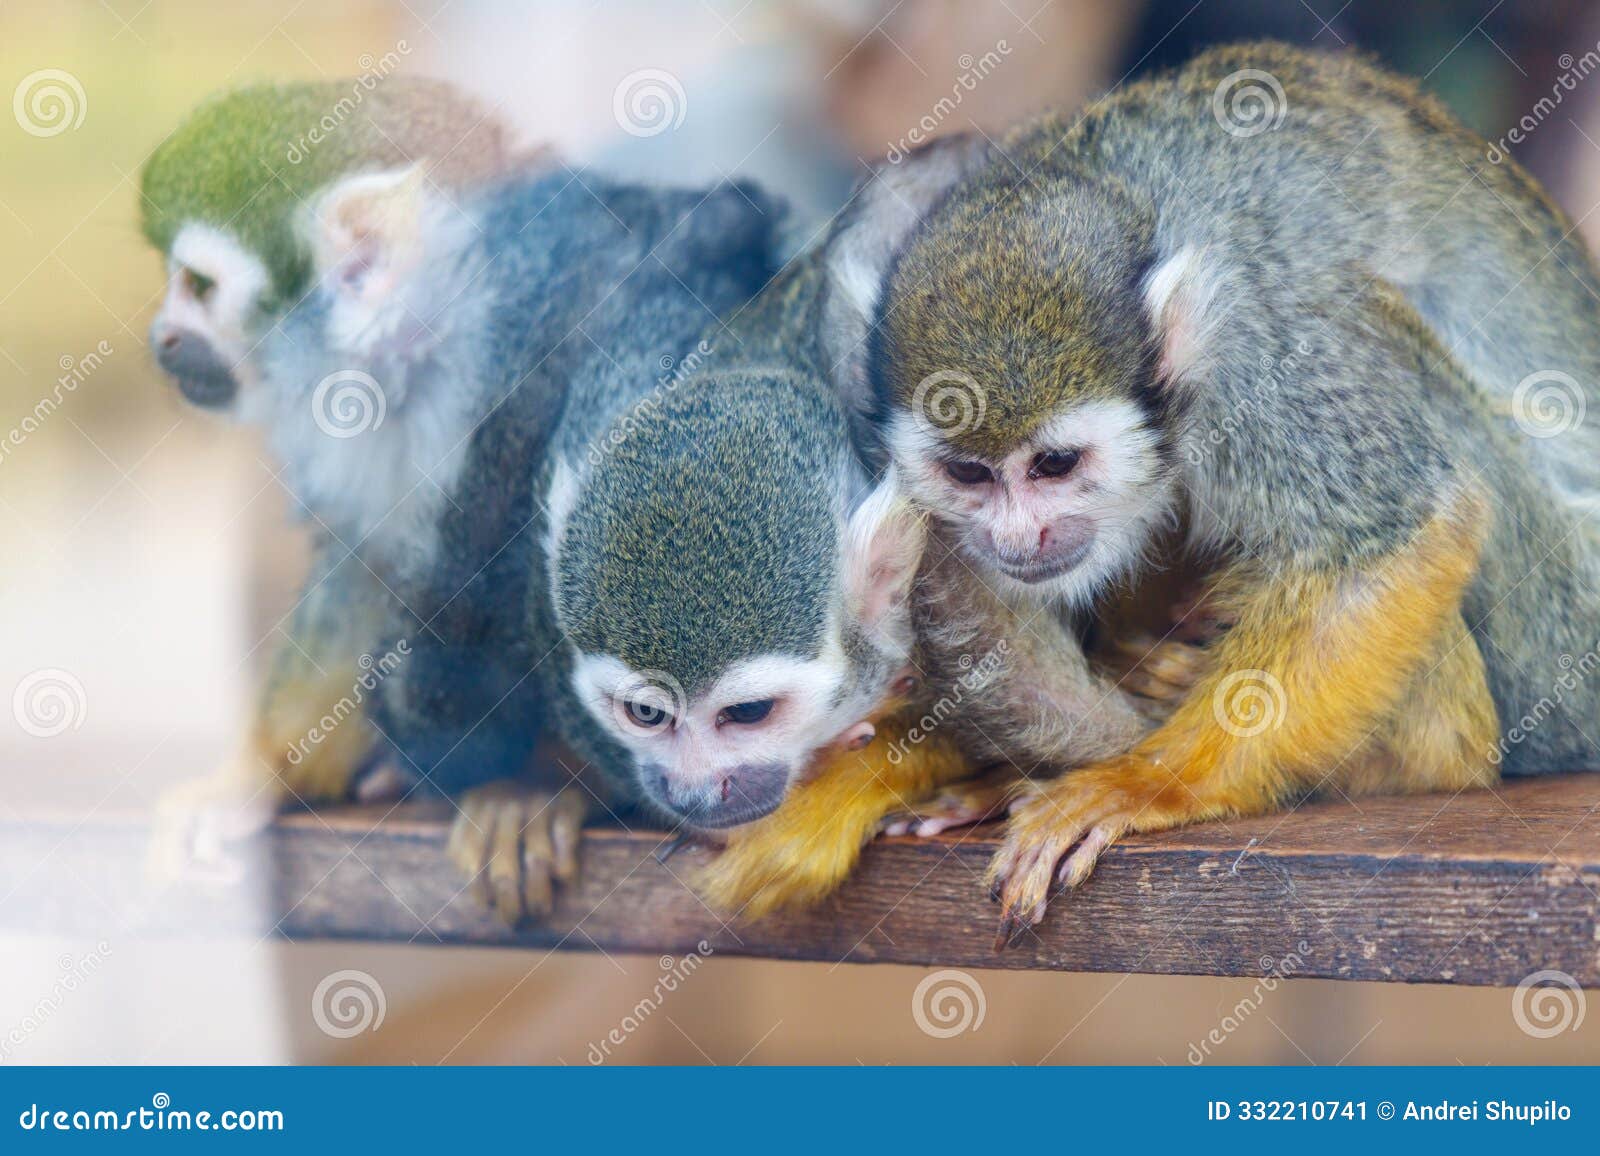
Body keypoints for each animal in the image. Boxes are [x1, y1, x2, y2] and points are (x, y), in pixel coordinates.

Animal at [822, 41, 1600, 943]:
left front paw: (1146, 782)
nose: (1017, 542)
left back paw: (1424, 753)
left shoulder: (1260, 347)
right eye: (970, 475)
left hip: (1562, 636)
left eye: (1055, 464)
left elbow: (1399, 530)